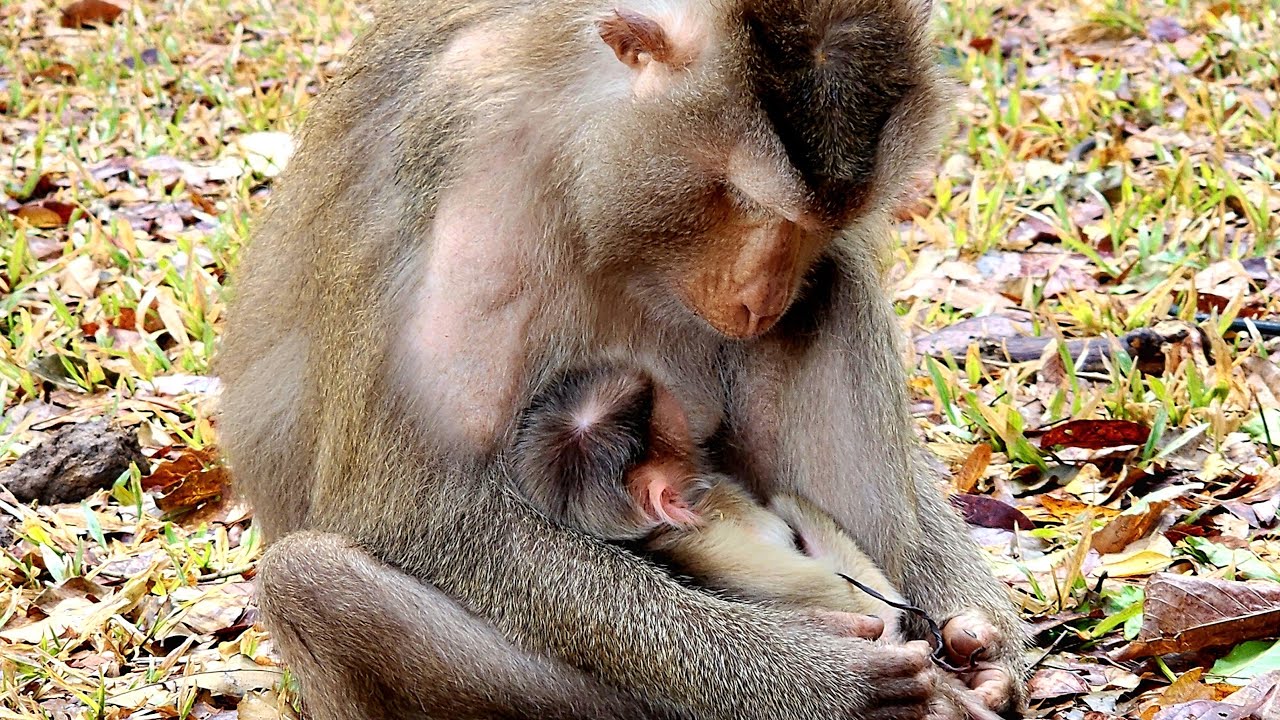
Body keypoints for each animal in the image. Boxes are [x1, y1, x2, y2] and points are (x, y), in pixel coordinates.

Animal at [217, 0, 1029, 717]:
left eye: (817, 222)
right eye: (742, 198)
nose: (761, 297)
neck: (585, 134)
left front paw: (982, 640)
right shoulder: (468, 169)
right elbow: (420, 512)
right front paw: (821, 678)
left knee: (831, 289)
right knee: (309, 580)